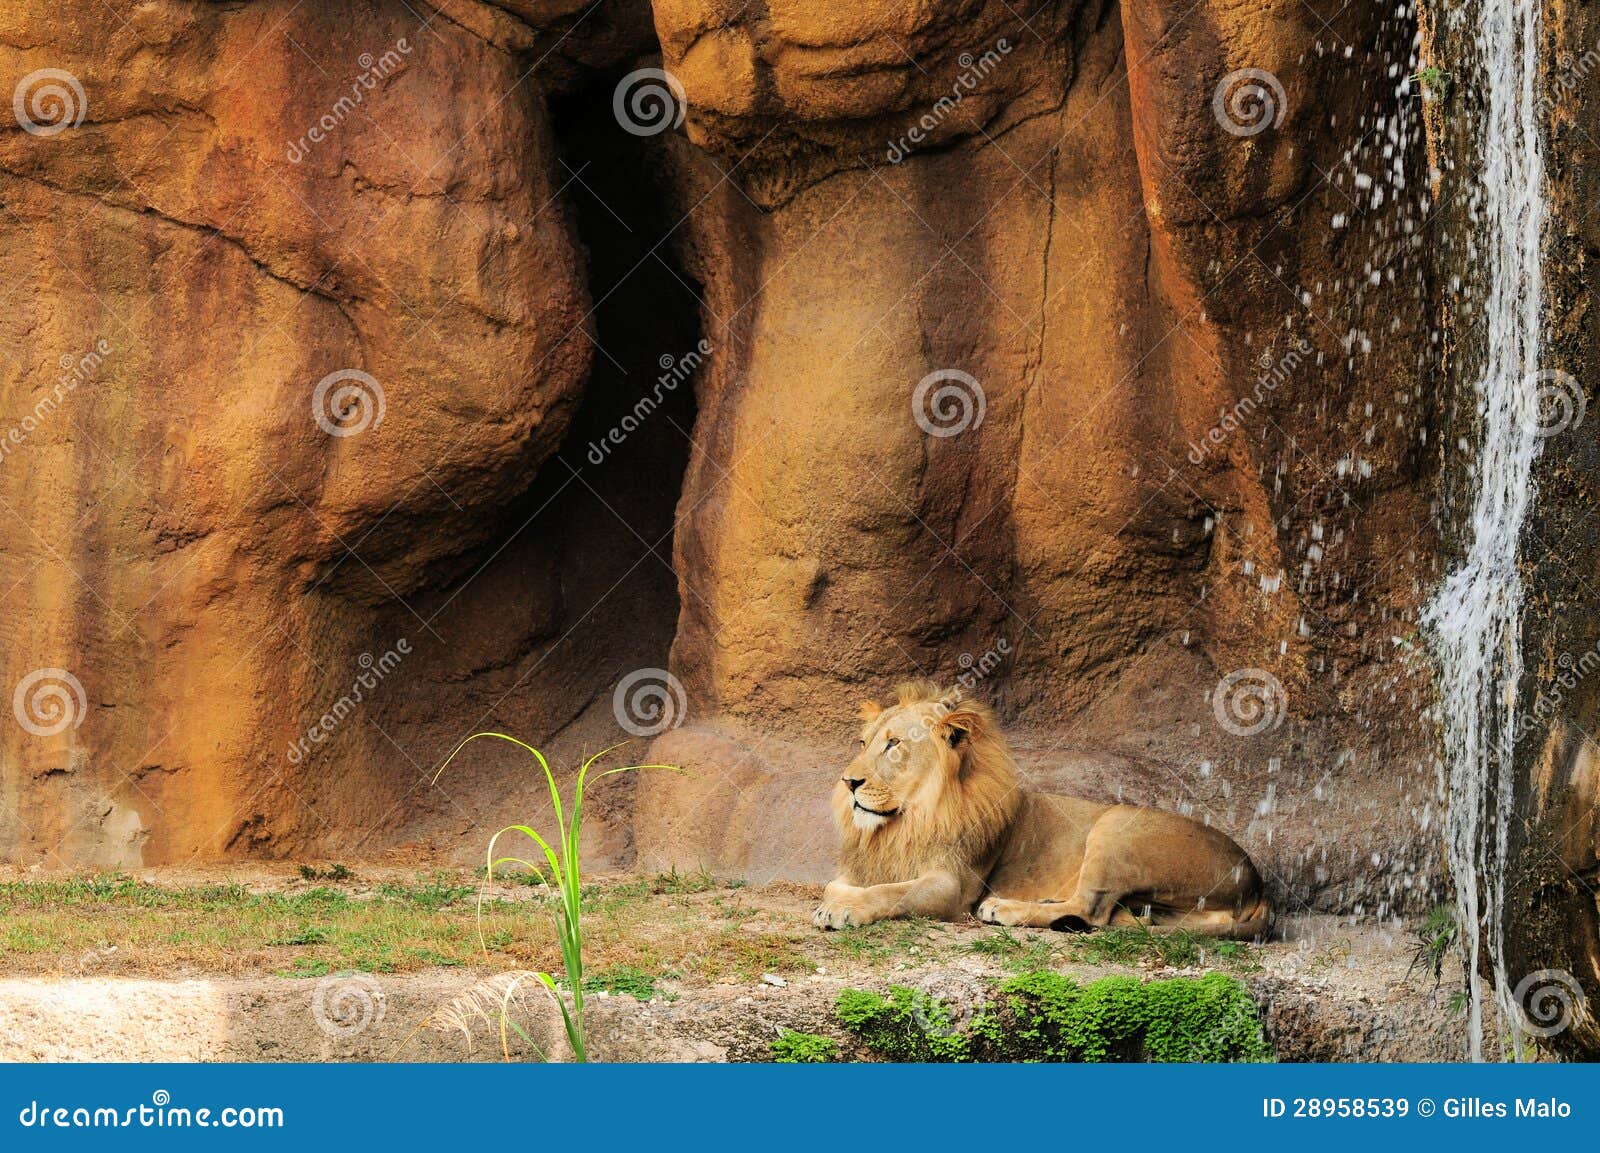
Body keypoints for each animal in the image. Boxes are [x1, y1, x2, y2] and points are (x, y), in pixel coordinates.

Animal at [812, 680, 1272, 939]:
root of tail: (1257, 880)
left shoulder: (955, 886)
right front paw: (838, 899)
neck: (909, 818)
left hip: (1117, 823)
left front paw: (845, 910)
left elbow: (893, 892)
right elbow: (837, 885)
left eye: (894, 744)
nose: (848, 782)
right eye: (863, 743)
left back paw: (1005, 908)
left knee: (1091, 911)